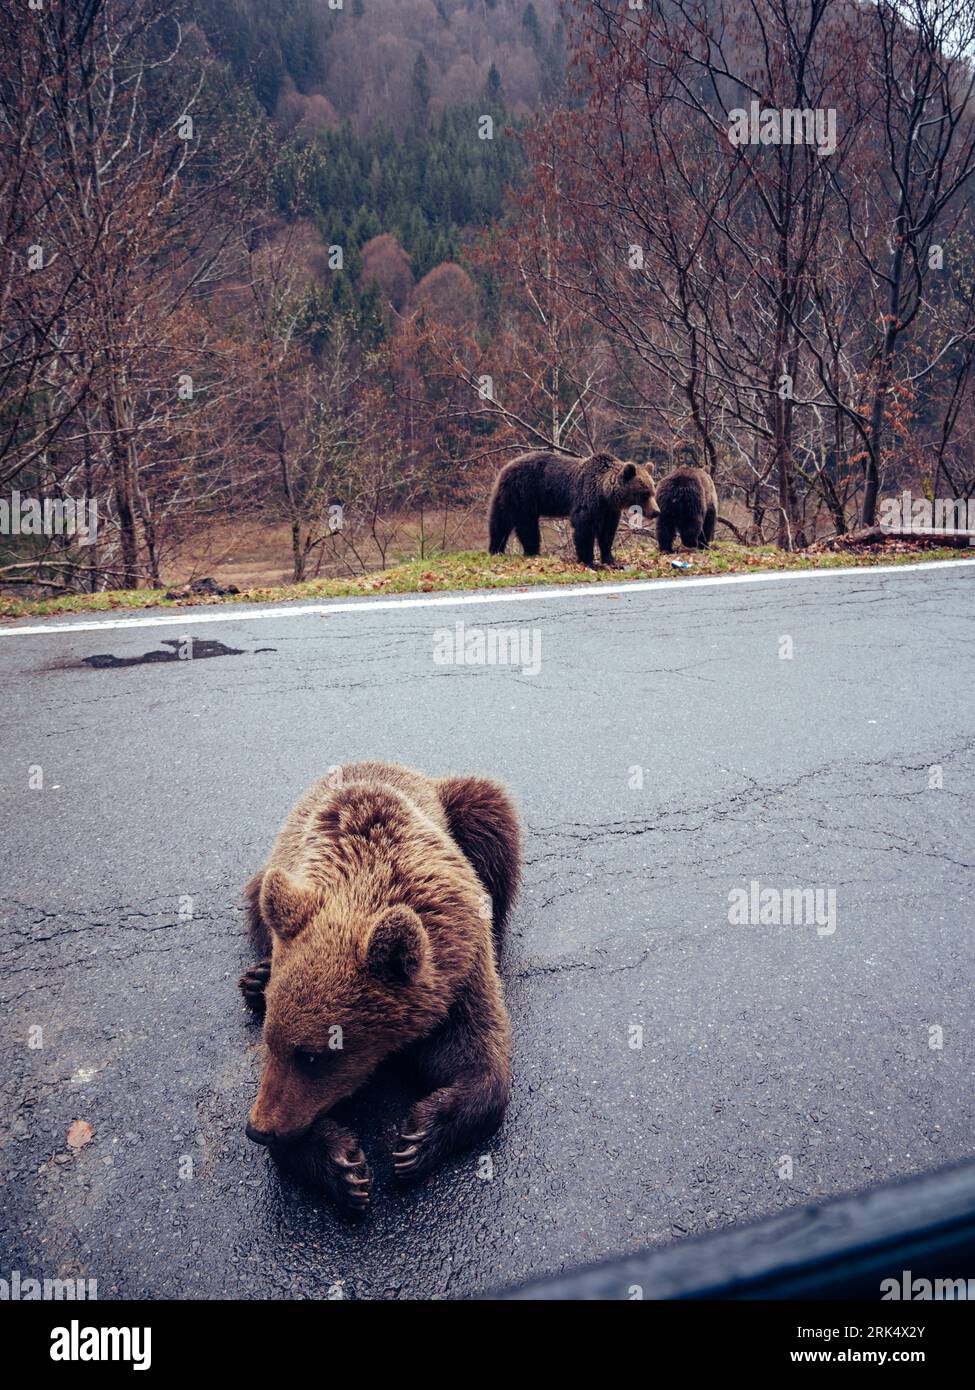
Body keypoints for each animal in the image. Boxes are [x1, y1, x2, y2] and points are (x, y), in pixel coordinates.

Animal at [239, 760, 521, 1214]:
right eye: (270, 1043)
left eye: (313, 1056)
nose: (258, 1129)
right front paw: (341, 1166)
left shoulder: (460, 973)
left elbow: (477, 1060)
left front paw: (416, 1141)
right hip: (270, 876)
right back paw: (256, 979)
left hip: (466, 808)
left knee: (492, 817)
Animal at [487, 449, 659, 568]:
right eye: (644, 494)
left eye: (653, 491)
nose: (656, 512)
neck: (605, 494)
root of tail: (506, 467)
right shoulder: (587, 498)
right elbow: (584, 528)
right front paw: (589, 561)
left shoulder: (609, 511)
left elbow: (607, 533)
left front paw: (612, 561)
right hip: (523, 493)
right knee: (526, 525)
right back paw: (532, 550)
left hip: (509, 496)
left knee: (500, 522)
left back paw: (496, 549)